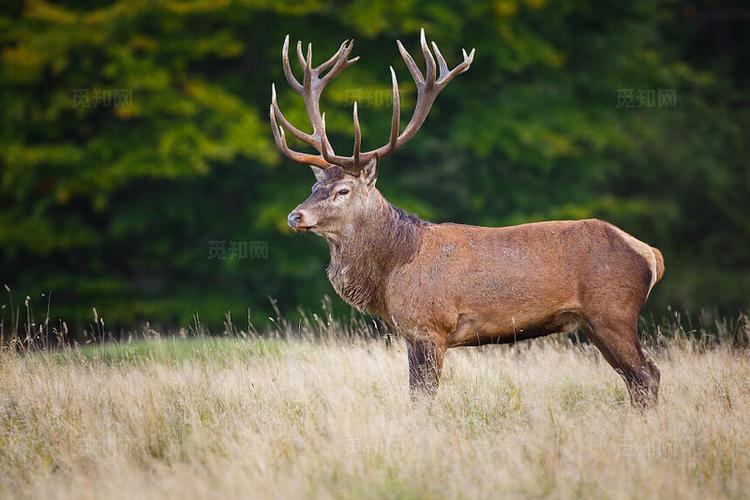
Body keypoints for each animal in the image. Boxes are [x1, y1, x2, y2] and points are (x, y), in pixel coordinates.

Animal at [269, 30, 665, 409]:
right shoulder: (411, 334)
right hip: (594, 324)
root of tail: (651, 255)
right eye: (315, 185)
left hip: (613, 312)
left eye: (343, 191)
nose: (295, 215)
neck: (394, 266)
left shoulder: (430, 325)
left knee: (647, 374)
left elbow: (423, 399)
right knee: (636, 379)